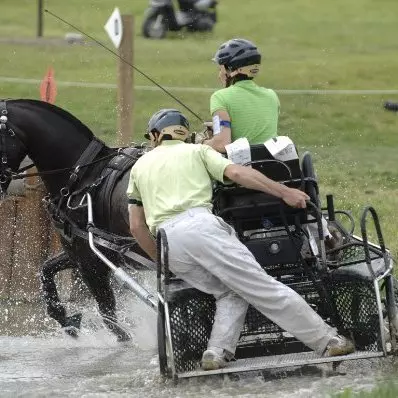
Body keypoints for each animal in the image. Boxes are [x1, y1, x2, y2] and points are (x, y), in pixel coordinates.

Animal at [0, 98, 149, 340]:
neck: (83, 176)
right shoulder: (77, 251)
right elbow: (46, 270)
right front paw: (66, 319)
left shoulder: (91, 261)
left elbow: (109, 317)